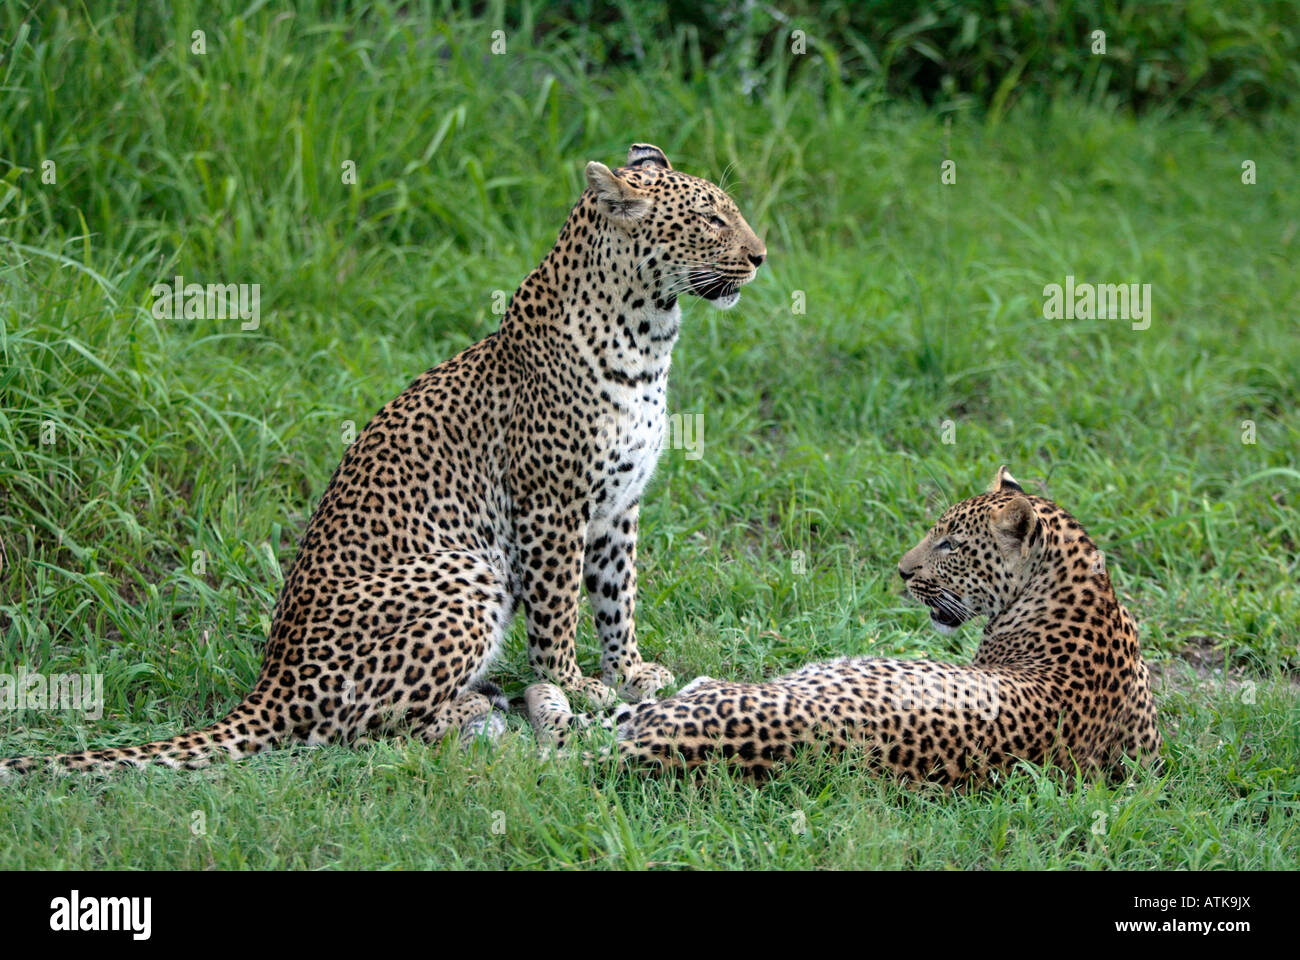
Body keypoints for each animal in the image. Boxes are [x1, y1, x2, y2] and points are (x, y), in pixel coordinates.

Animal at [2, 142, 766, 776]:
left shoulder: (618, 507)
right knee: (355, 727)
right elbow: (559, 612)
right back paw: (478, 704)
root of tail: (269, 684)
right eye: (710, 218)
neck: (649, 335)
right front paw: (571, 684)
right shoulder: (553, 508)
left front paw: (630, 671)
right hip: (467, 576)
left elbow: (617, 596)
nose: (761, 257)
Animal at [525, 466, 1162, 787]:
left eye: (951, 545)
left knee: (573, 728)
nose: (902, 571)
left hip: (696, 696)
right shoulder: (1147, 756)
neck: (1086, 591)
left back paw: (544, 689)